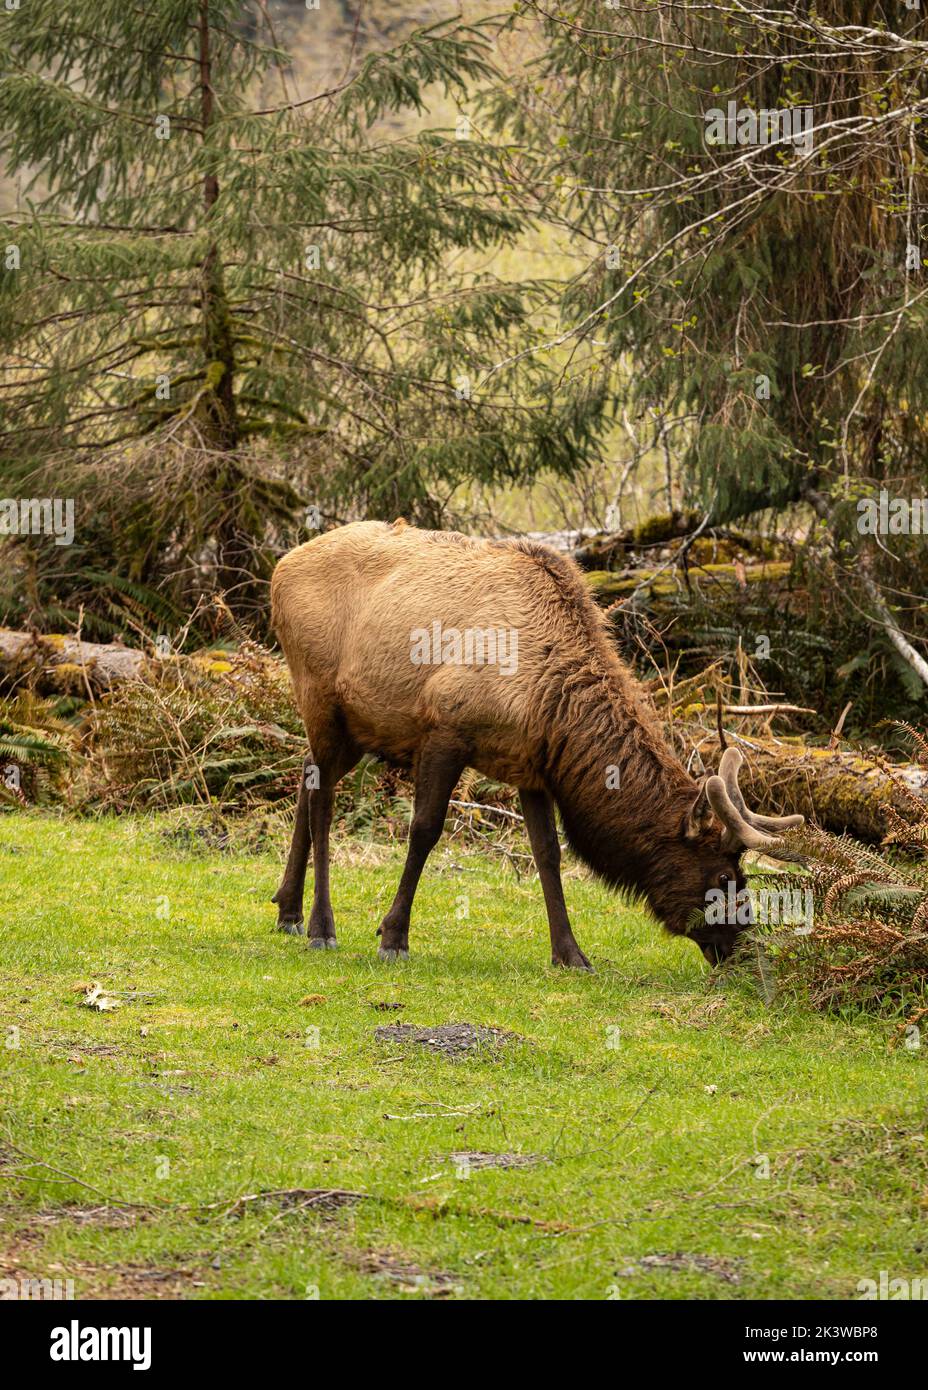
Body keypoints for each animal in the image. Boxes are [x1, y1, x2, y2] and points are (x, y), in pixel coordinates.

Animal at [270, 520, 803, 970]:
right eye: (723, 878)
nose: (742, 949)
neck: (550, 699)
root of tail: (280, 566)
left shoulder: (533, 764)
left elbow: (547, 853)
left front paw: (570, 954)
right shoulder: (445, 729)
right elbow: (424, 830)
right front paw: (393, 936)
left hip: (360, 726)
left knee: (305, 780)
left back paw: (287, 911)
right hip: (320, 697)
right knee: (323, 802)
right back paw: (320, 926)